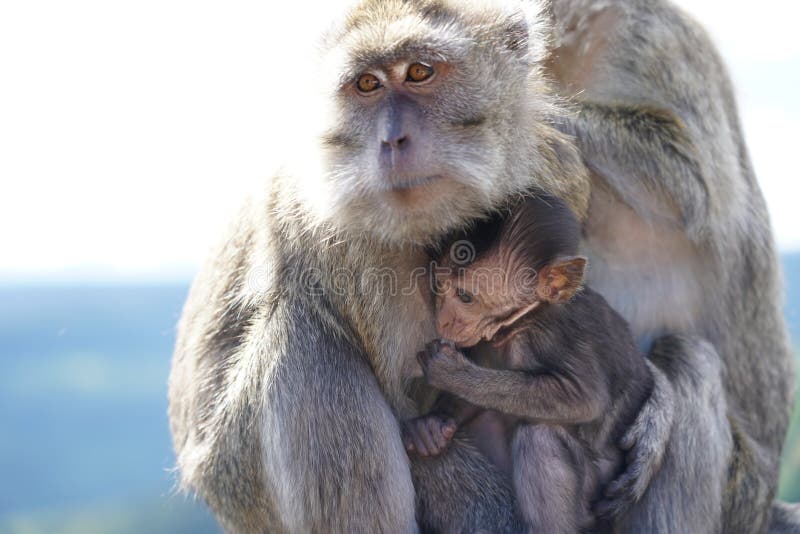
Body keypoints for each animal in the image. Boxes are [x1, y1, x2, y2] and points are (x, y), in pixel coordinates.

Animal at [402, 194, 655, 533]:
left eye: (465, 297)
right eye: (439, 288)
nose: (442, 320)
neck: (523, 318)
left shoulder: (553, 332)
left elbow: (584, 397)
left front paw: (449, 371)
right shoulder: (486, 340)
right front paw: (431, 425)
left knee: (539, 433)